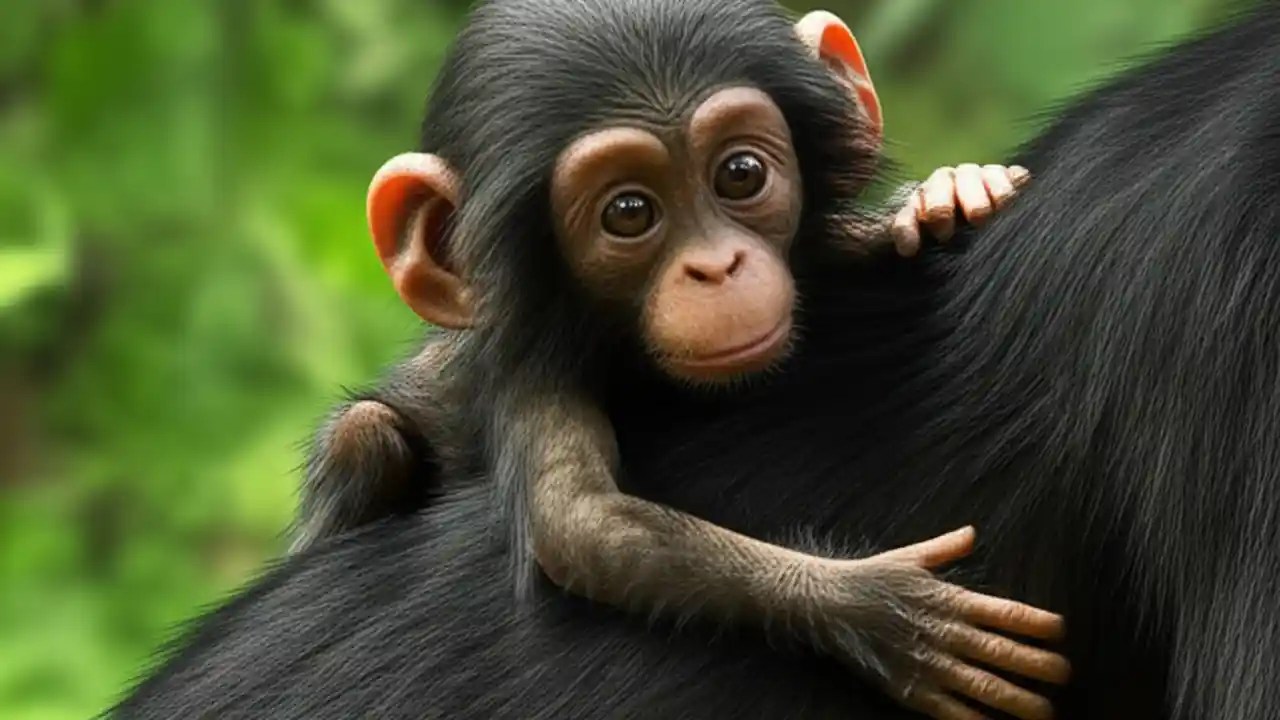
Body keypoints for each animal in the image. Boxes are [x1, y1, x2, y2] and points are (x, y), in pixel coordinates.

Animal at [113, 1, 1280, 718]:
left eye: (741, 174)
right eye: (629, 212)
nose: (716, 266)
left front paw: (948, 195)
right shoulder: (534, 382)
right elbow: (589, 529)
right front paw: (878, 610)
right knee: (364, 438)